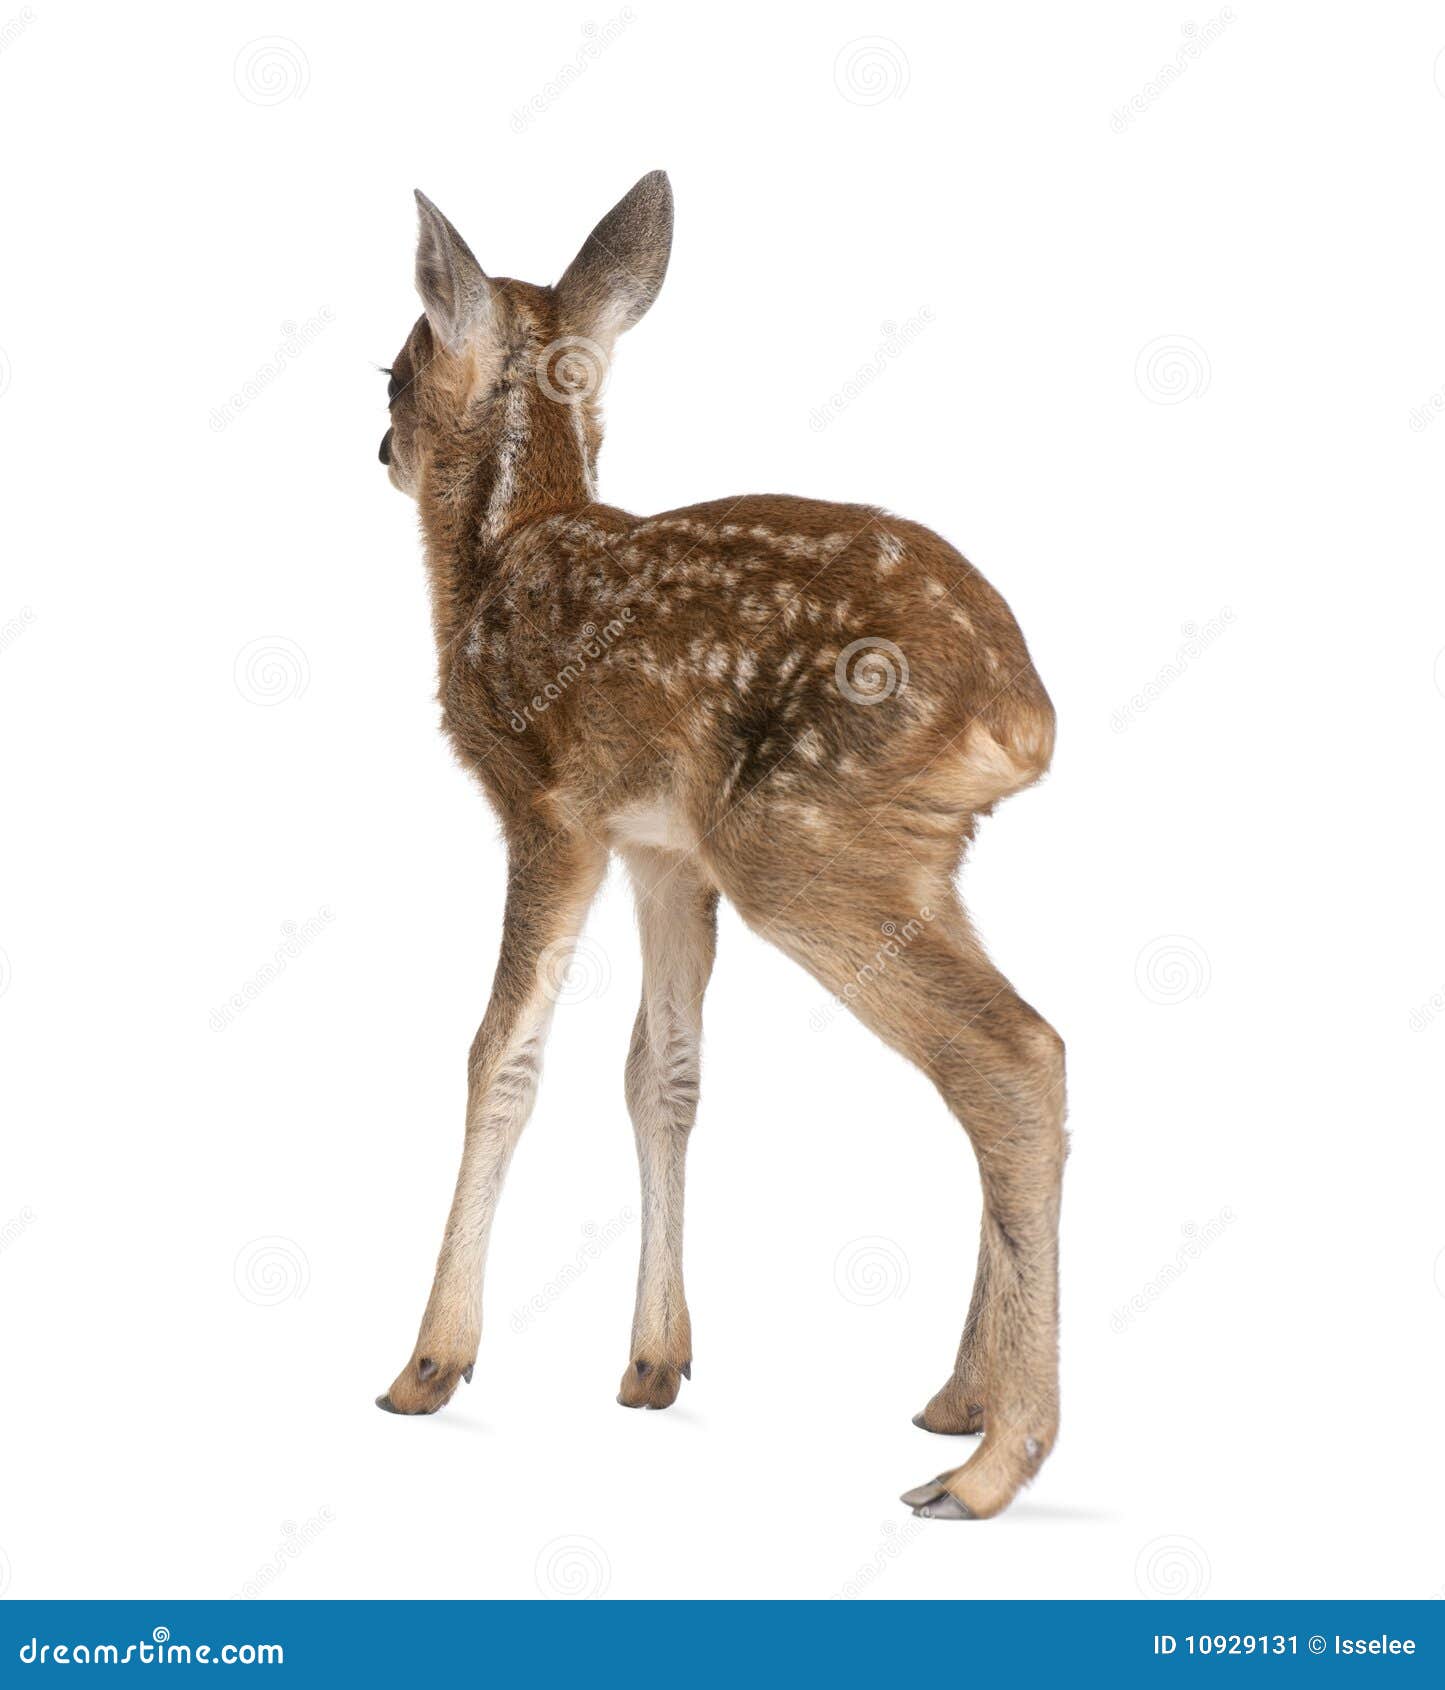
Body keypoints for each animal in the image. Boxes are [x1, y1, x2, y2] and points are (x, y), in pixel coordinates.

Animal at [373, 172, 1066, 1521]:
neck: (495, 561)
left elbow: (502, 1057)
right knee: (997, 1058)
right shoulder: (662, 849)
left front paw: (428, 1363)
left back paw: (983, 1468)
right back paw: (955, 1401)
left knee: (1016, 1056)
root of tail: (1022, 716)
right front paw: (653, 1362)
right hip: (895, 857)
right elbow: (664, 1074)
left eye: (394, 370)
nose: (375, 445)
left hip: (796, 841)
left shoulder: (549, 811)